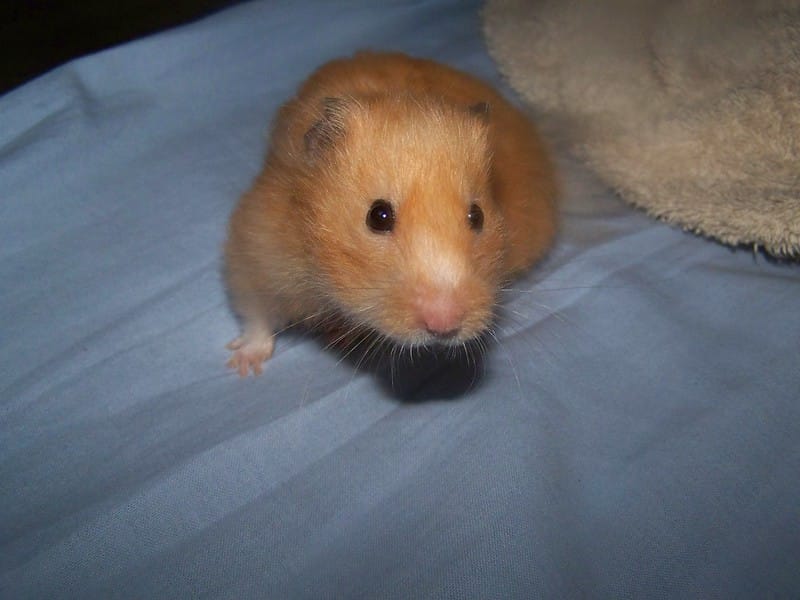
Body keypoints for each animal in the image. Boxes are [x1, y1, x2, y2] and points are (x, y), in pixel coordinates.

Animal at [224, 51, 557, 376]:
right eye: (378, 216)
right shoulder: (256, 246)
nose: (444, 326)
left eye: (478, 216)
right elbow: (254, 312)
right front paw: (243, 366)